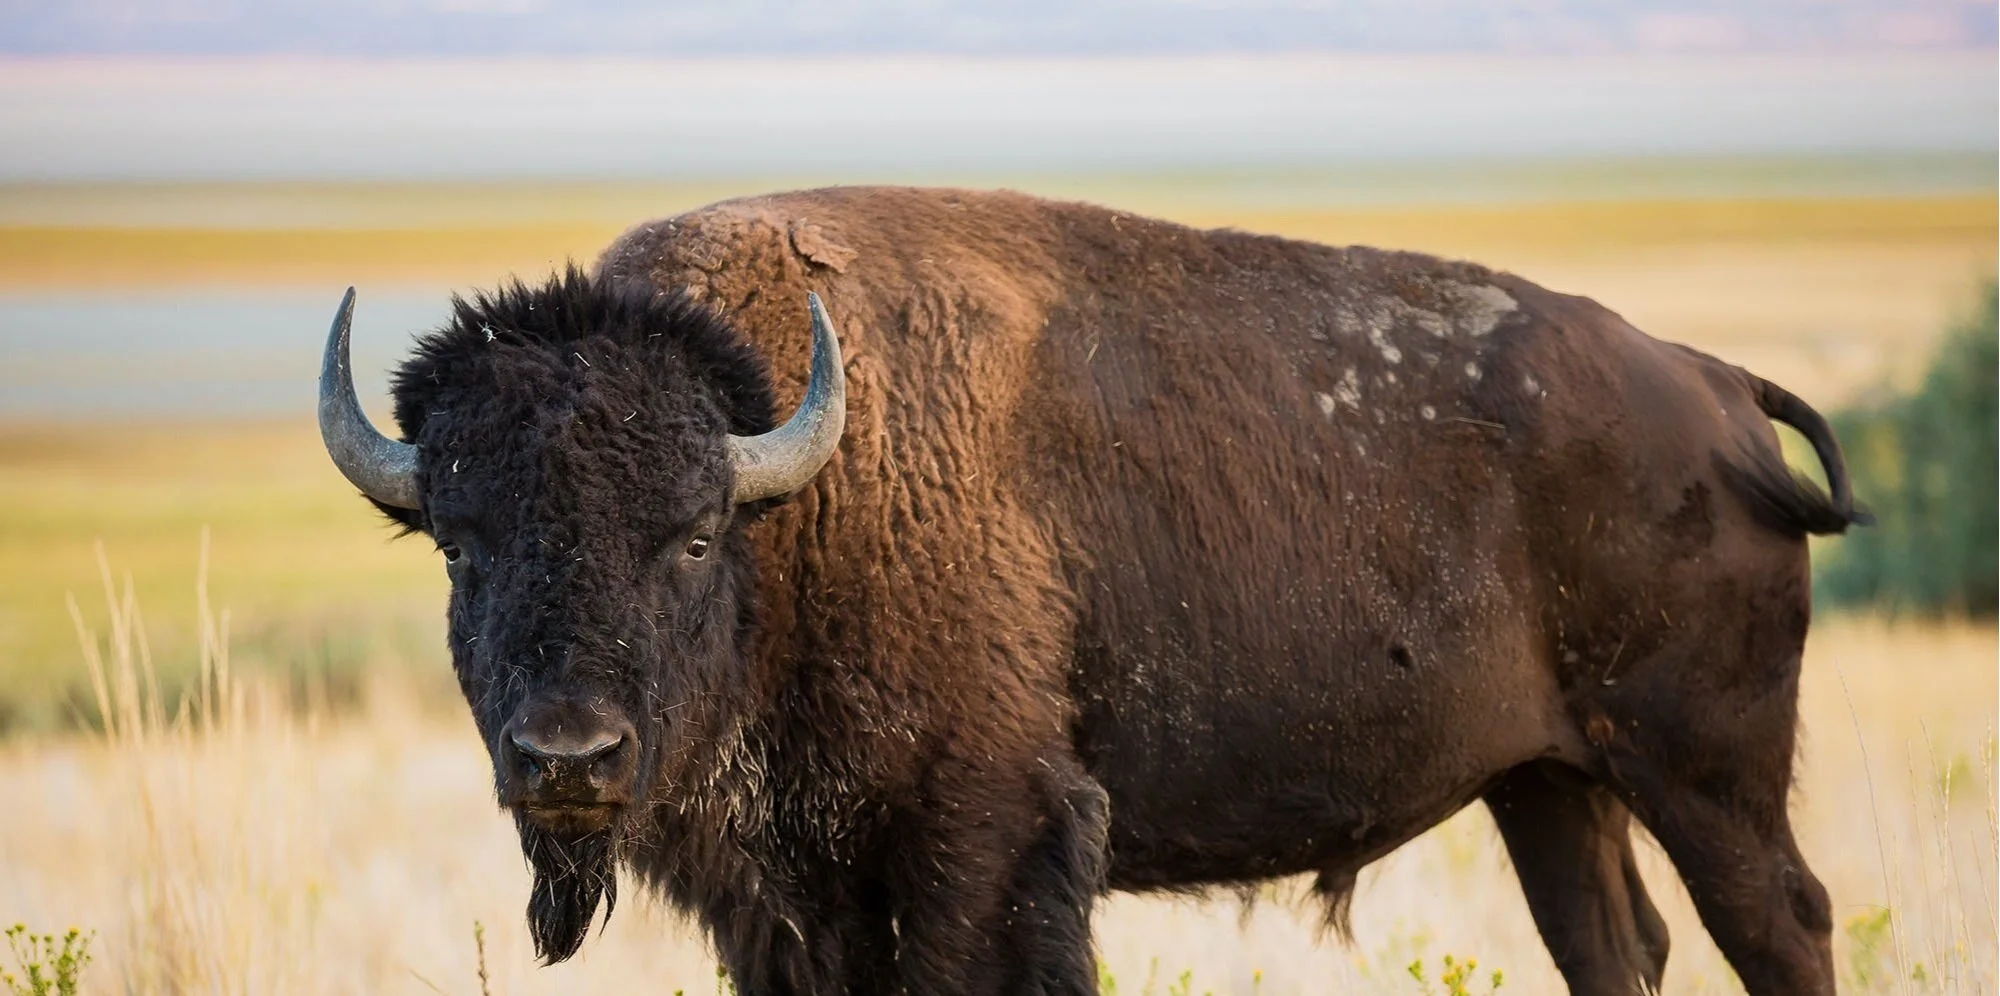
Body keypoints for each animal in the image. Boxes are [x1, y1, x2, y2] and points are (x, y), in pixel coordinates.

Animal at [318, 186, 1866, 995]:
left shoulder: (982, 838)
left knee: (1780, 922)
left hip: (1703, 774)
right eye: (459, 543)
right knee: (1616, 943)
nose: (567, 758)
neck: (797, 501)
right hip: (1548, 785)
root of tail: (1713, 390)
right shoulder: (785, 898)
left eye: (692, 537)